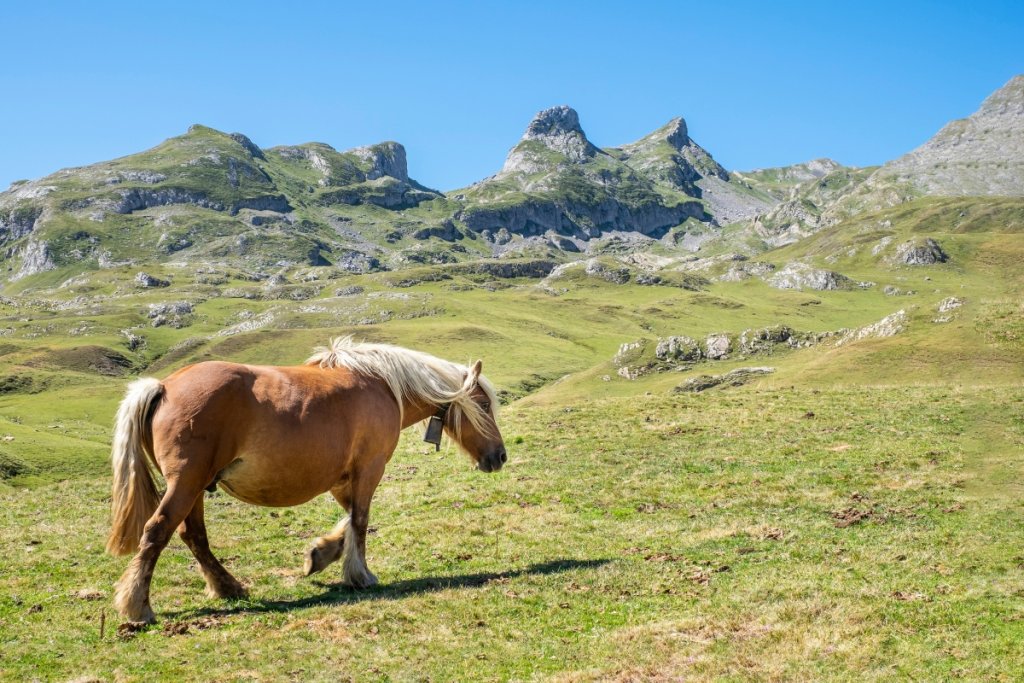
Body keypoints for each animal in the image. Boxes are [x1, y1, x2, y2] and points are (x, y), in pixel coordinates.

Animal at [105, 337, 506, 624]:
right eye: (484, 405)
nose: (499, 456)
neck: (383, 386)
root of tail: (163, 386)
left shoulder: (343, 476)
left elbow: (347, 520)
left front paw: (320, 555)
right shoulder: (370, 468)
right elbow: (360, 521)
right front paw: (360, 575)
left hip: (197, 487)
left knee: (194, 536)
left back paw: (228, 587)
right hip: (186, 483)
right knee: (157, 530)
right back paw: (139, 607)